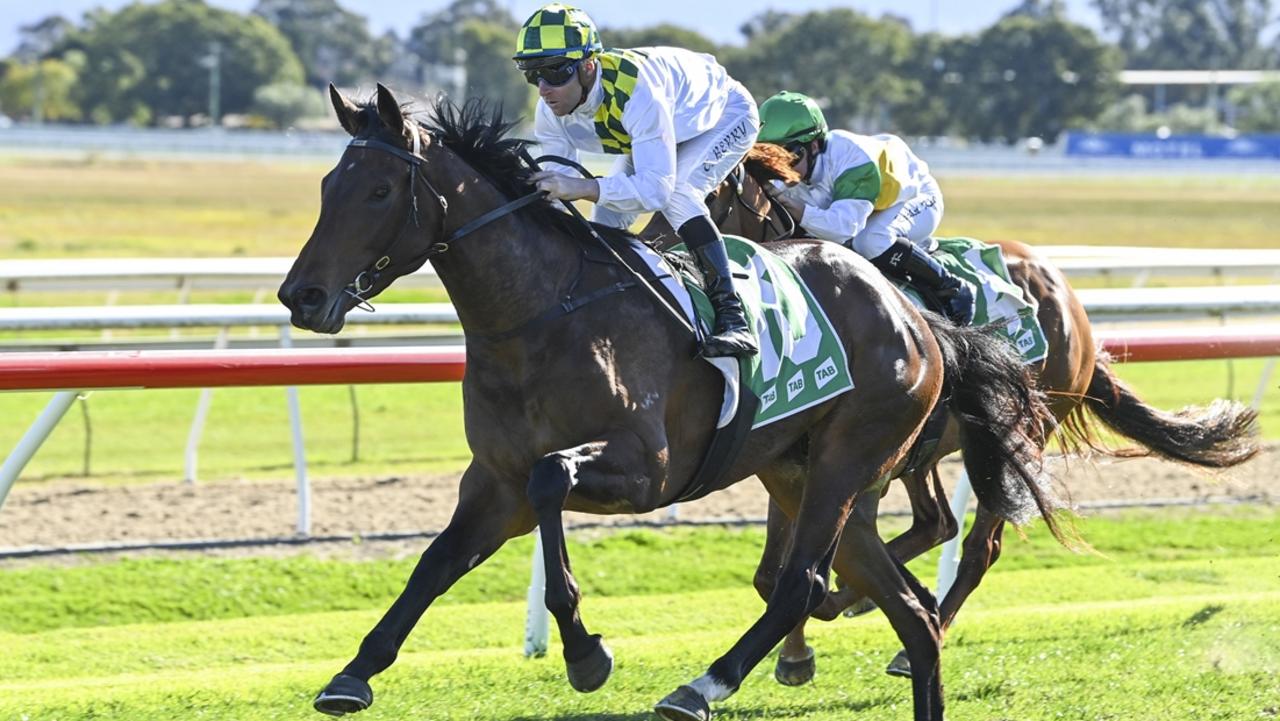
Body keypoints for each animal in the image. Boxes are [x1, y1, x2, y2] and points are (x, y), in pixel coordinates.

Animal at [278, 83, 1066, 721]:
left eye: (379, 191)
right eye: (327, 184)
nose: (300, 296)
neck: (540, 314)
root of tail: (920, 320)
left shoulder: (646, 469)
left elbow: (550, 480)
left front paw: (585, 653)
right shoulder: (494, 482)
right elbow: (434, 564)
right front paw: (354, 672)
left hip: (851, 458)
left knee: (804, 581)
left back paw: (703, 684)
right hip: (801, 470)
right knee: (909, 615)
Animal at [666, 142, 1262, 683]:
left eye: (709, 194)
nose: (662, 257)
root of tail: (1068, 299)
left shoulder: (850, 454)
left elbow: (814, 559)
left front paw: (847, 607)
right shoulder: (800, 448)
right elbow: (775, 572)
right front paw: (798, 652)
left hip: (1025, 431)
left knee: (978, 546)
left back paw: (909, 636)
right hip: (934, 446)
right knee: (939, 521)